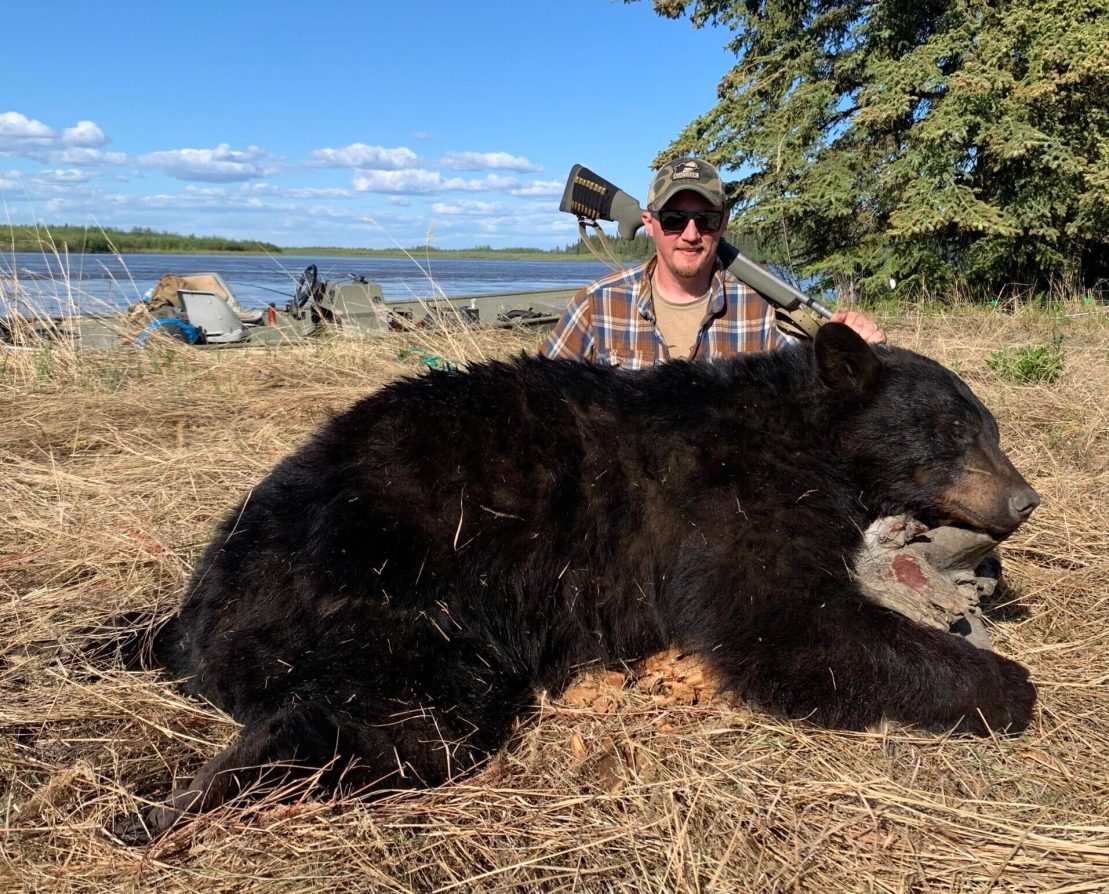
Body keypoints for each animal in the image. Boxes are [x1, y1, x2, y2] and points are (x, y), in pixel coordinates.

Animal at [110, 323, 1038, 843]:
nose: (1024, 499)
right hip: (380, 589)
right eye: (954, 430)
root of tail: (198, 606)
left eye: (990, 428)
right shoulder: (722, 501)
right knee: (406, 722)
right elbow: (784, 624)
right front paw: (1009, 686)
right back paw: (174, 805)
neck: (799, 434)